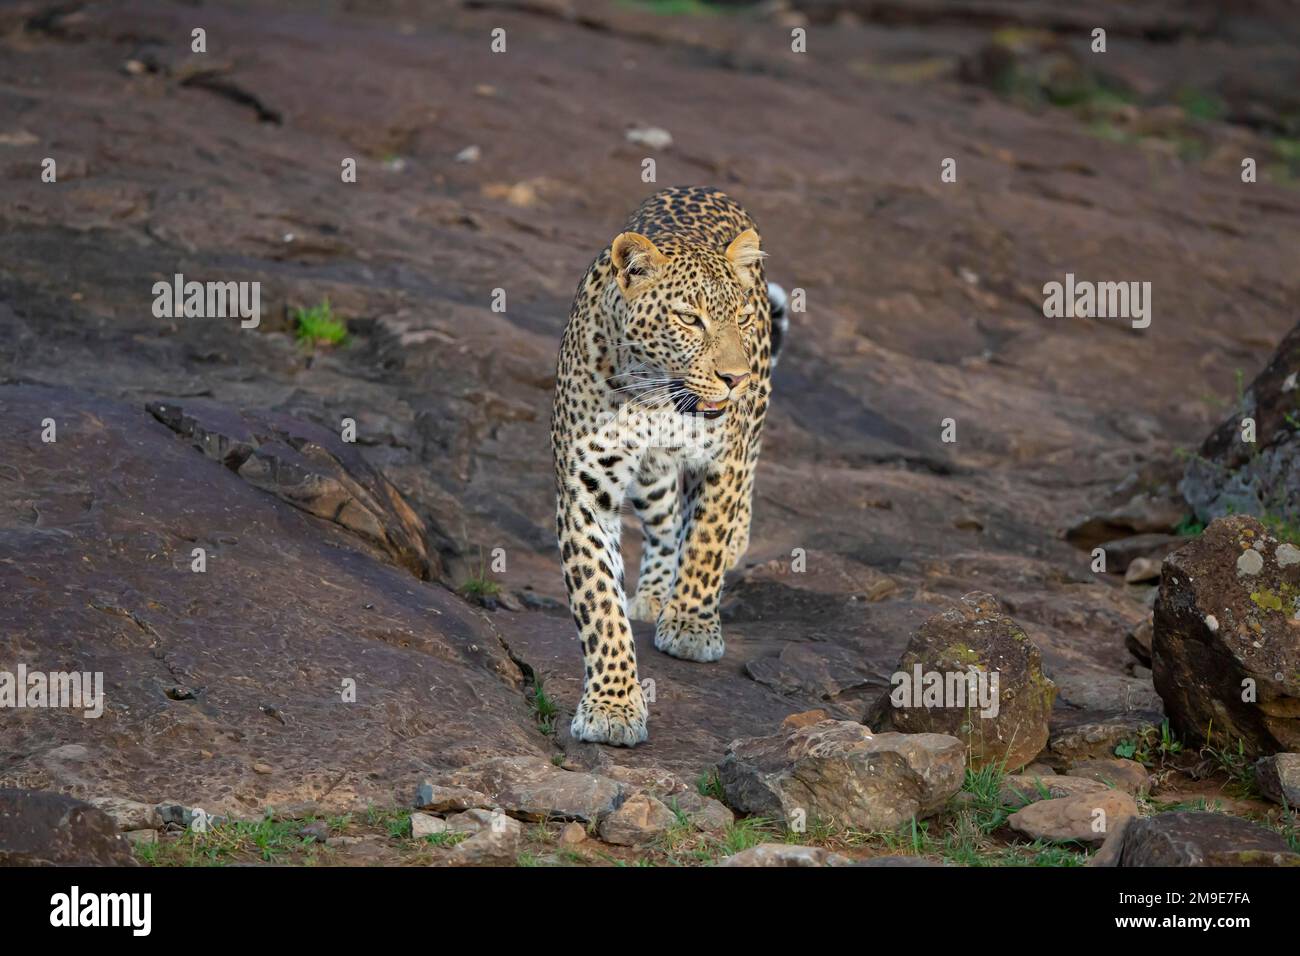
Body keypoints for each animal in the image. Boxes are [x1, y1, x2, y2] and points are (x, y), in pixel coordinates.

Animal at [550, 186, 786, 746]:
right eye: (689, 319)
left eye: (742, 319)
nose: (735, 378)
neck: (656, 396)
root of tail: (705, 188)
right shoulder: (585, 491)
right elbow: (600, 601)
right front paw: (613, 705)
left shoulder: (724, 459)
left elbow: (704, 544)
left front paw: (691, 626)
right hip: (652, 477)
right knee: (663, 523)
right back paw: (654, 592)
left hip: (755, 416)